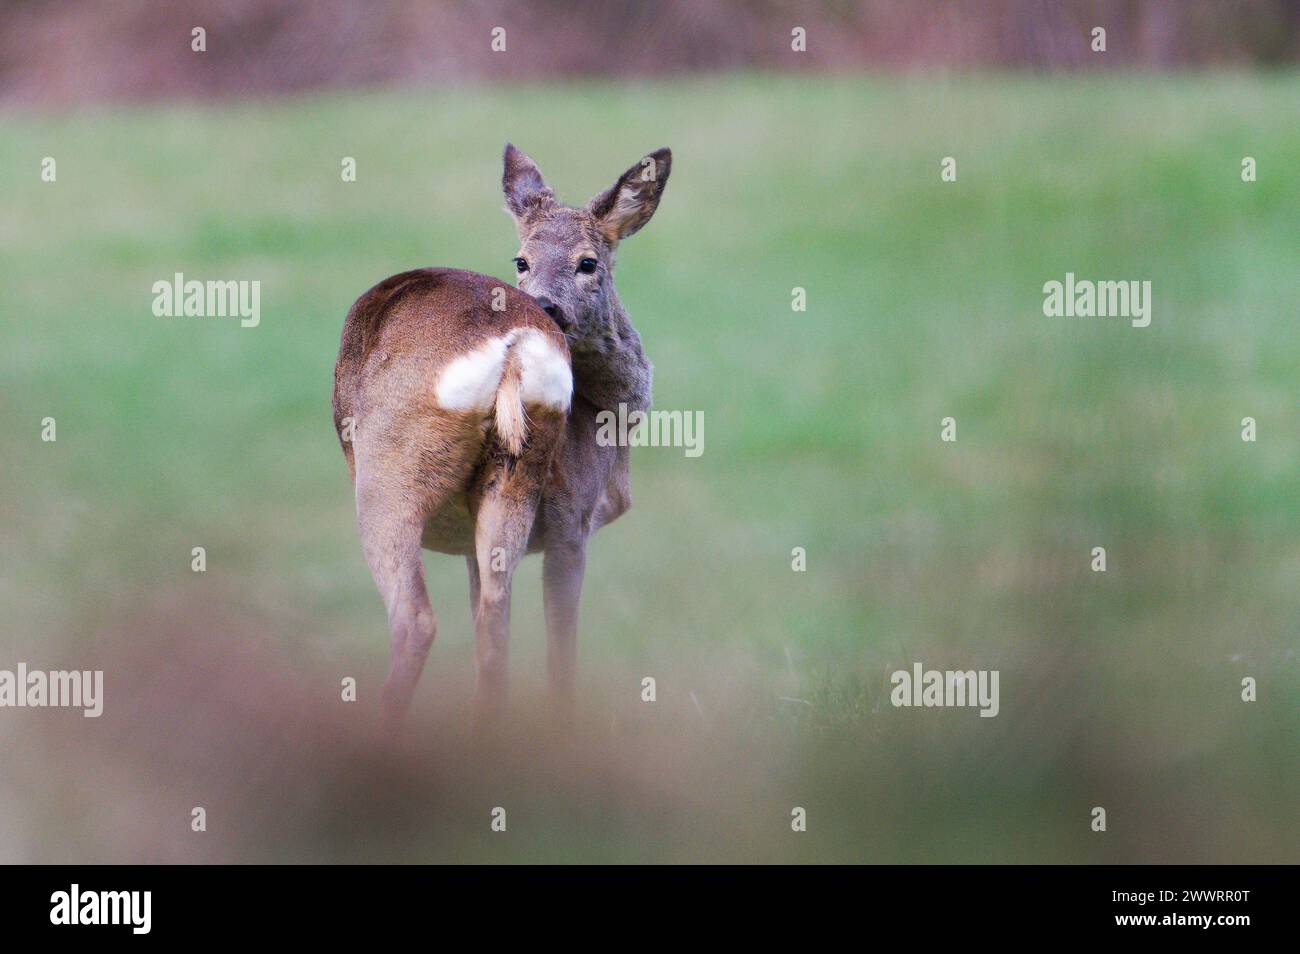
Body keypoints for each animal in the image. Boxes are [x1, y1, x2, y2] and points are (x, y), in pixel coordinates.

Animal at [332, 144, 671, 729]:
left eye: (589, 262)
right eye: (522, 260)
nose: (549, 305)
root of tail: (513, 343)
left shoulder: (571, 521)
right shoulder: (553, 520)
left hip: (391, 471)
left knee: (417, 619)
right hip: (509, 477)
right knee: (493, 622)